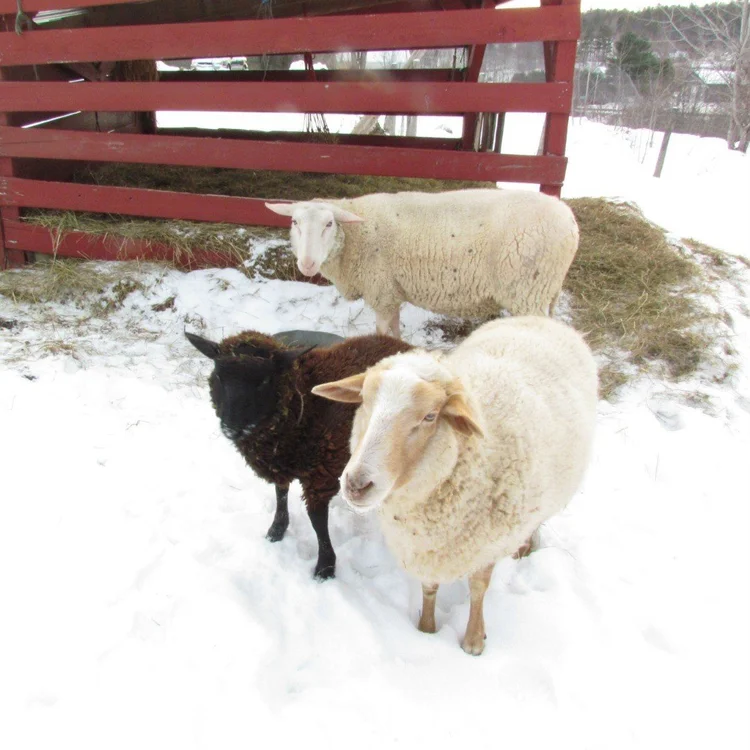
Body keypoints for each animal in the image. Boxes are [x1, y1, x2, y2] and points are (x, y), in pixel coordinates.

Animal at [186, 328, 411, 579]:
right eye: (219, 376)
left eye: (265, 380)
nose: (231, 428)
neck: (305, 404)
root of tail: (398, 342)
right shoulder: (280, 461)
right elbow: (280, 493)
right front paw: (277, 529)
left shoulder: (321, 474)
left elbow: (317, 519)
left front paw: (325, 566)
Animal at [265, 189, 579, 338]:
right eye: (295, 222)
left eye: (329, 224)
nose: (307, 264)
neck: (357, 236)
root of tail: (571, 222)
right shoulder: (391, 292)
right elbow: (395, 330)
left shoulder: (381, 291)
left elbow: (382, 331)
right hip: (542, 292)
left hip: (528, 291)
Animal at [312, 316, 597, 653]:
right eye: (365, 402)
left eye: (430, 416)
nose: (357, 484)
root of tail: (539, 318)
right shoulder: (427, 546)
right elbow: (429, 587)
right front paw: (426, 630)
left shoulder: (487, 543)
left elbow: (478, 588)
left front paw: (473, 641)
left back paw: (526, 545)